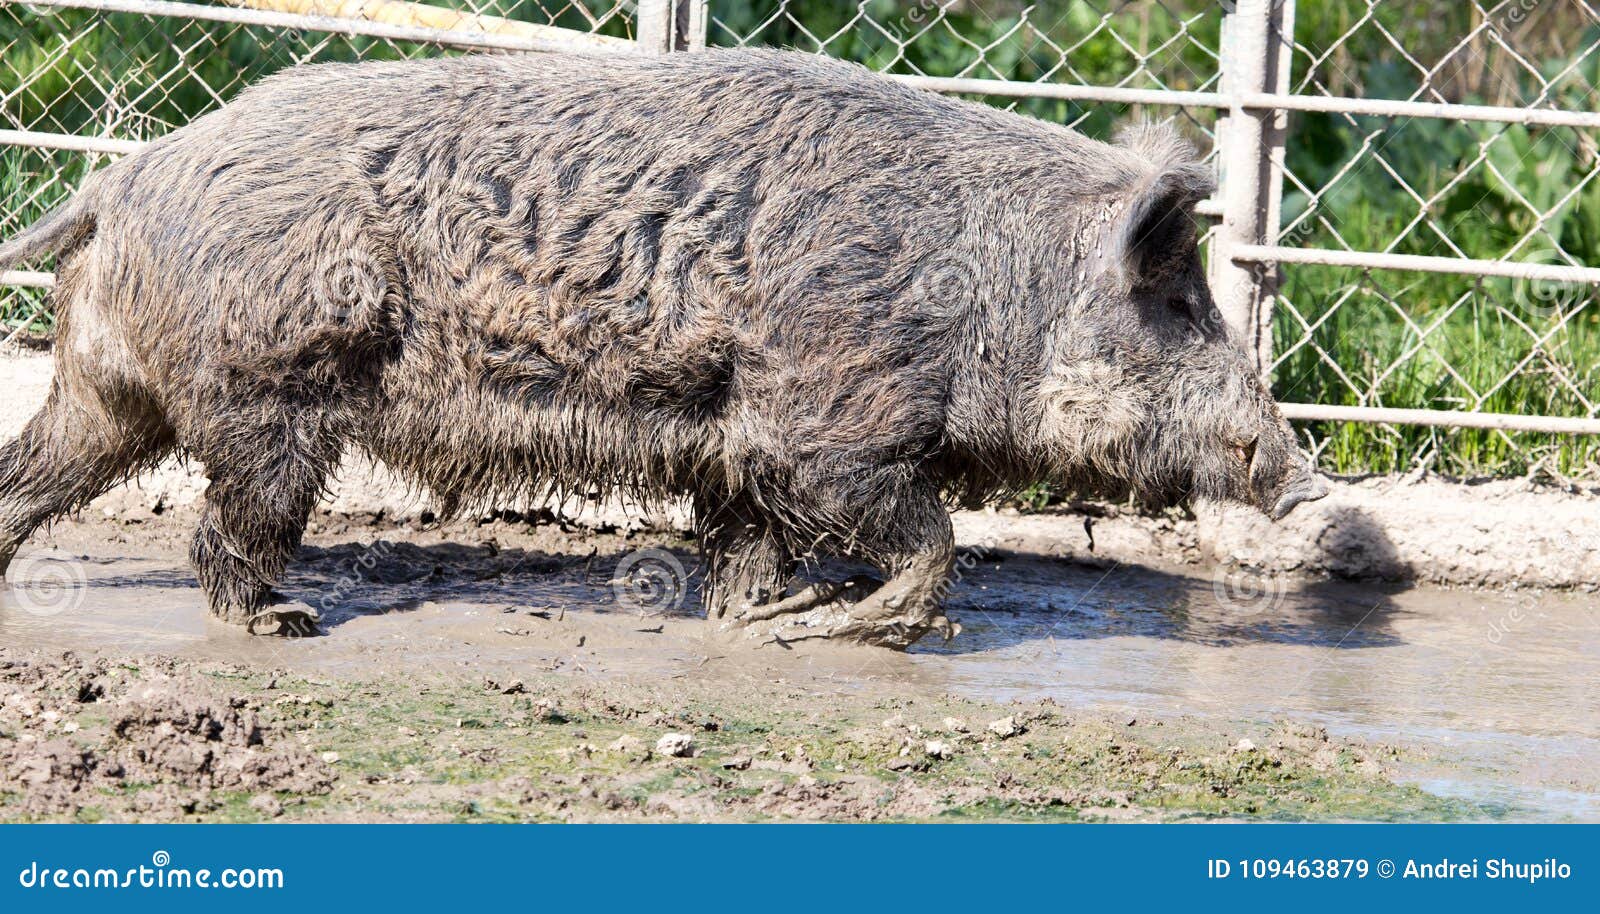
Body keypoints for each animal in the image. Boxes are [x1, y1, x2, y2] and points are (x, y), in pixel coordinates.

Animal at [0, 49, 1326, 648]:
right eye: (1183, 310)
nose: (1299, 471)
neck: (988, 289)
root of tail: (126, 177)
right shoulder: (825, 419)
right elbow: (928, 534)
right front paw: (828, 625)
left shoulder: (739, 443)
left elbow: (749, 540)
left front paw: (768, 611)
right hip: (265, 391)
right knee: (224, 516)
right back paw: (283, 620)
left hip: (107, 388)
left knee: (34, 470)